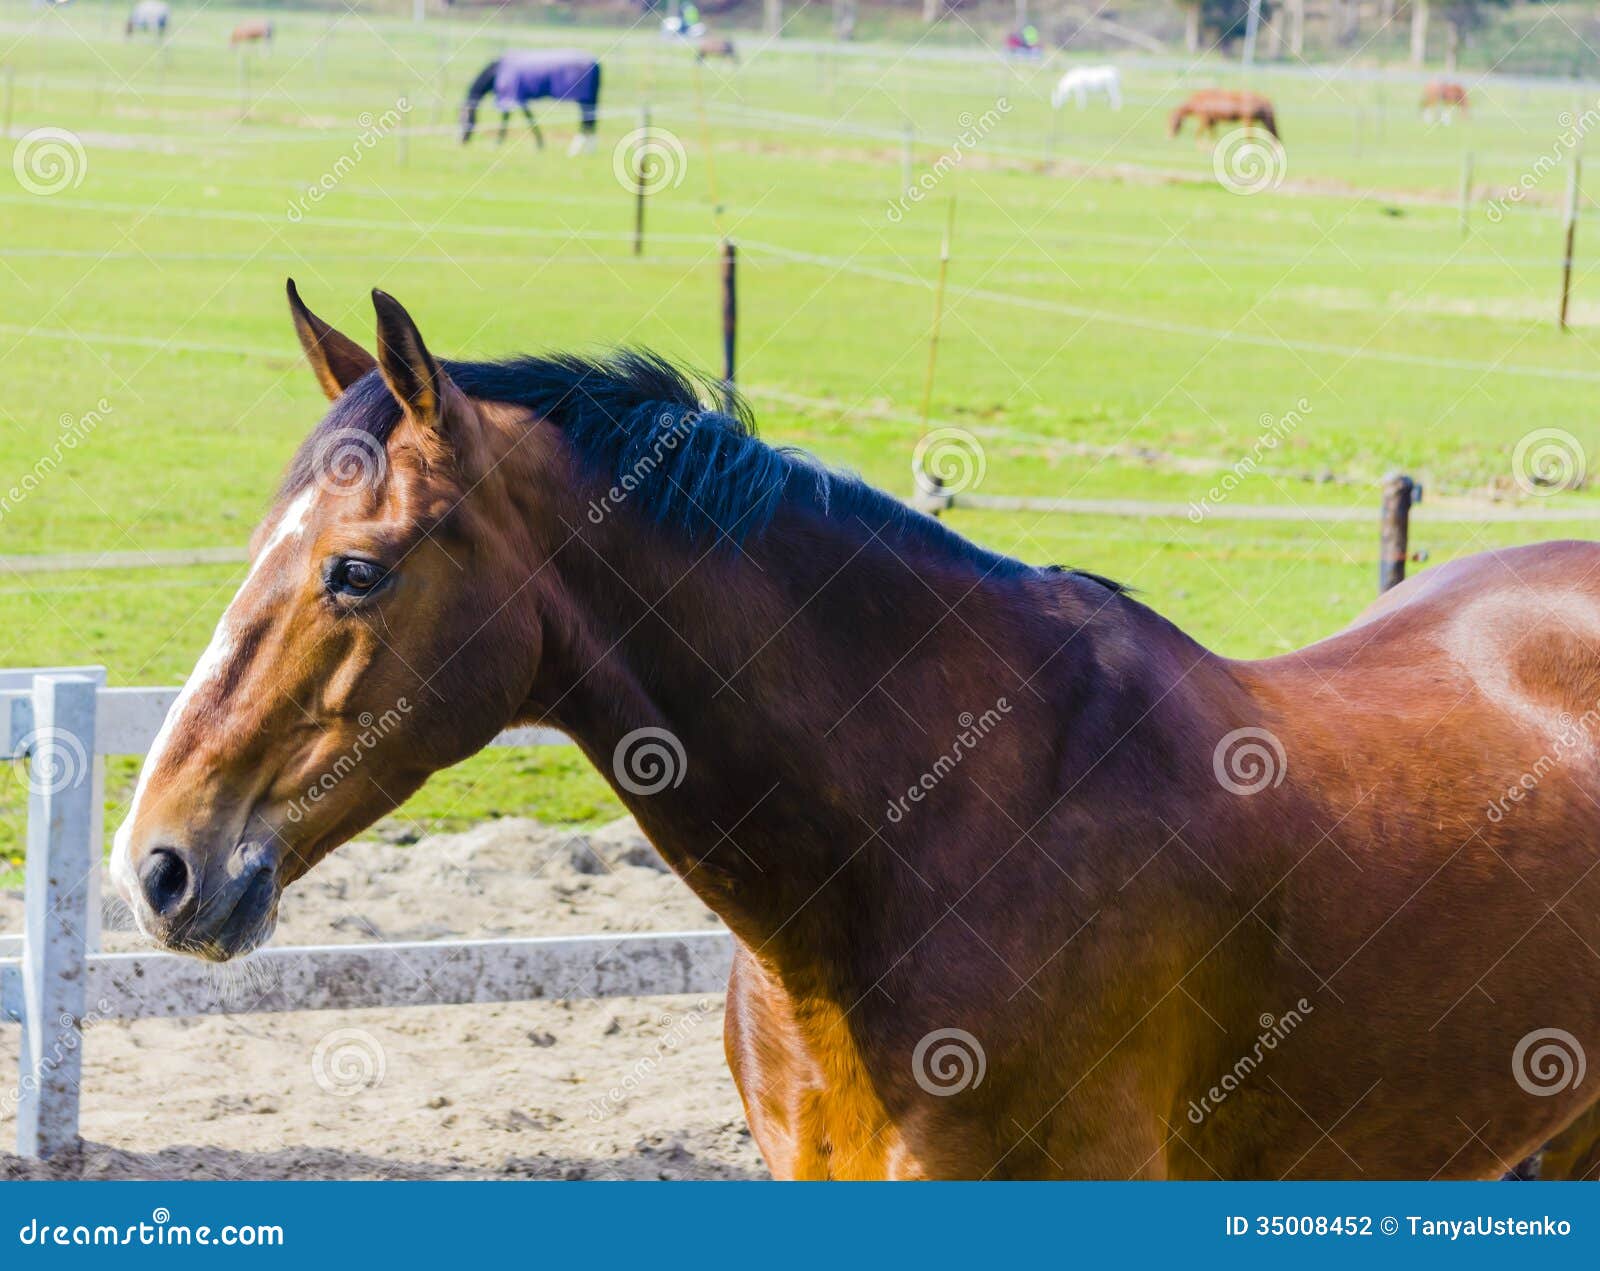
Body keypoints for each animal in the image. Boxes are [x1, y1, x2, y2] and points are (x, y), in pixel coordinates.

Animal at [460, 51, 601, 156]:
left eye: (465, 121)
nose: (461, 141)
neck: (498, 70)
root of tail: (595, 62)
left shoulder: (514, 97)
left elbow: (516, 119)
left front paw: (498, 143)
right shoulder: (521, 99)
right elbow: (528, 119)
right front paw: (540, 144)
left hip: (583, 98)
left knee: (587, 120)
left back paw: (575, 150)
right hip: (589, 98)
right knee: (591, 119)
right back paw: (589, 150)